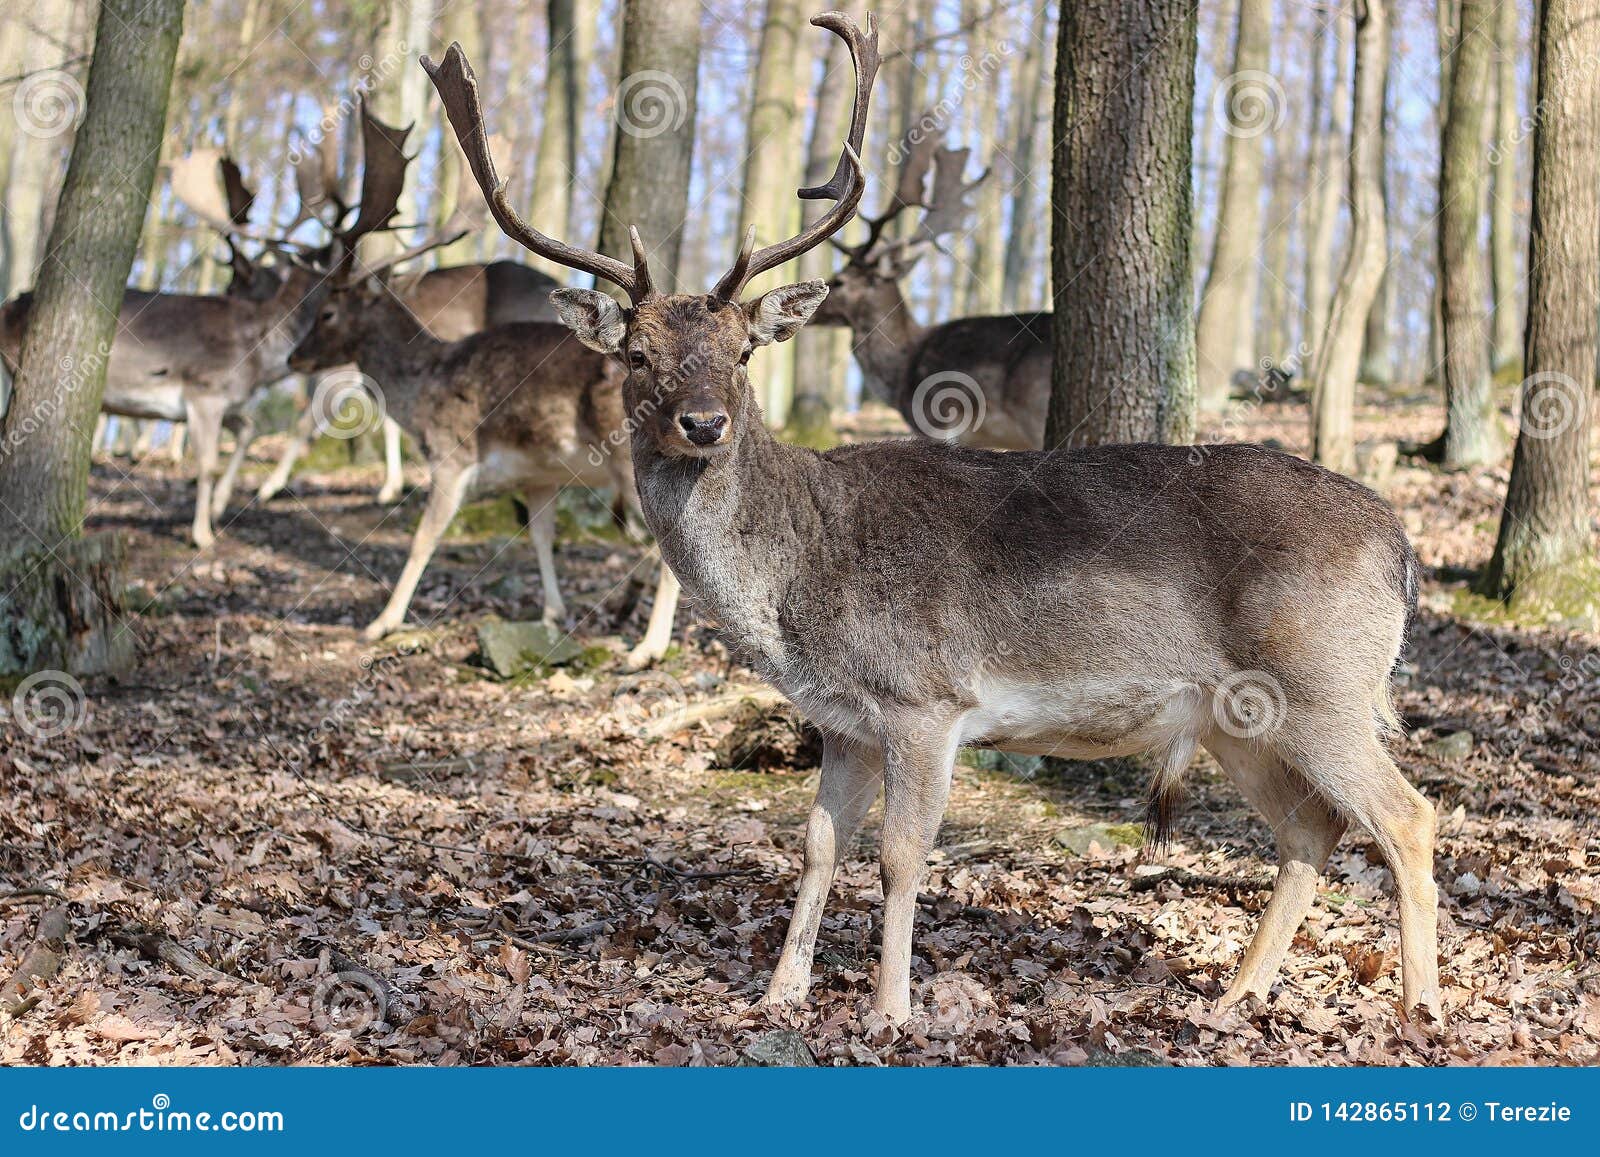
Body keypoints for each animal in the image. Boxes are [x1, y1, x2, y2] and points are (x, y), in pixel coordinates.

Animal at [285, 117, 681, 664]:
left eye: (327, 312)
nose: (293, 358)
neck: (422, 384)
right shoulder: (539, 476)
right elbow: (540, 538)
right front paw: (554, 614)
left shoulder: (451, 455)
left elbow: (423, 538)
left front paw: (381, 623)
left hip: (630, 465)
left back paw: (648, 648)